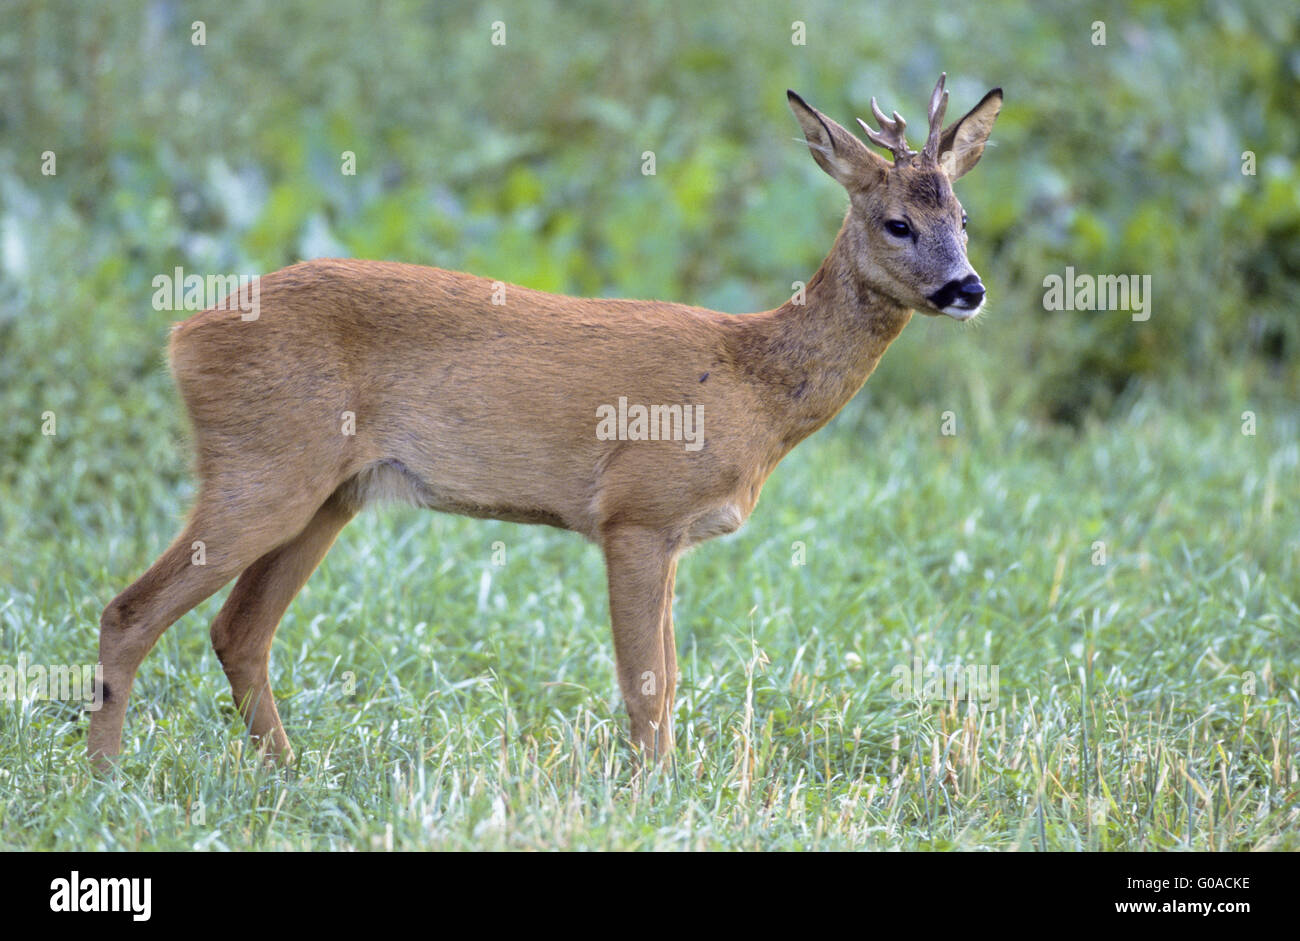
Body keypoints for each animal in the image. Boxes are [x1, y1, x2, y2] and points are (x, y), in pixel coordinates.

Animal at [88, 75, 1002, 771]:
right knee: (130, 611)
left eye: (964, 219)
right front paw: (651, 790)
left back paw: (287, 771)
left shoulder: (669, 534)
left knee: (238, 629)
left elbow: (670, 676)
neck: (755, 384)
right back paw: (106, 777)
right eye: (897, 222)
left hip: (329, 495)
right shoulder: (636, 511)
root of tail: (182, 336)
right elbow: (647, 681)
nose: (968, 288)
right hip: (263, 466)